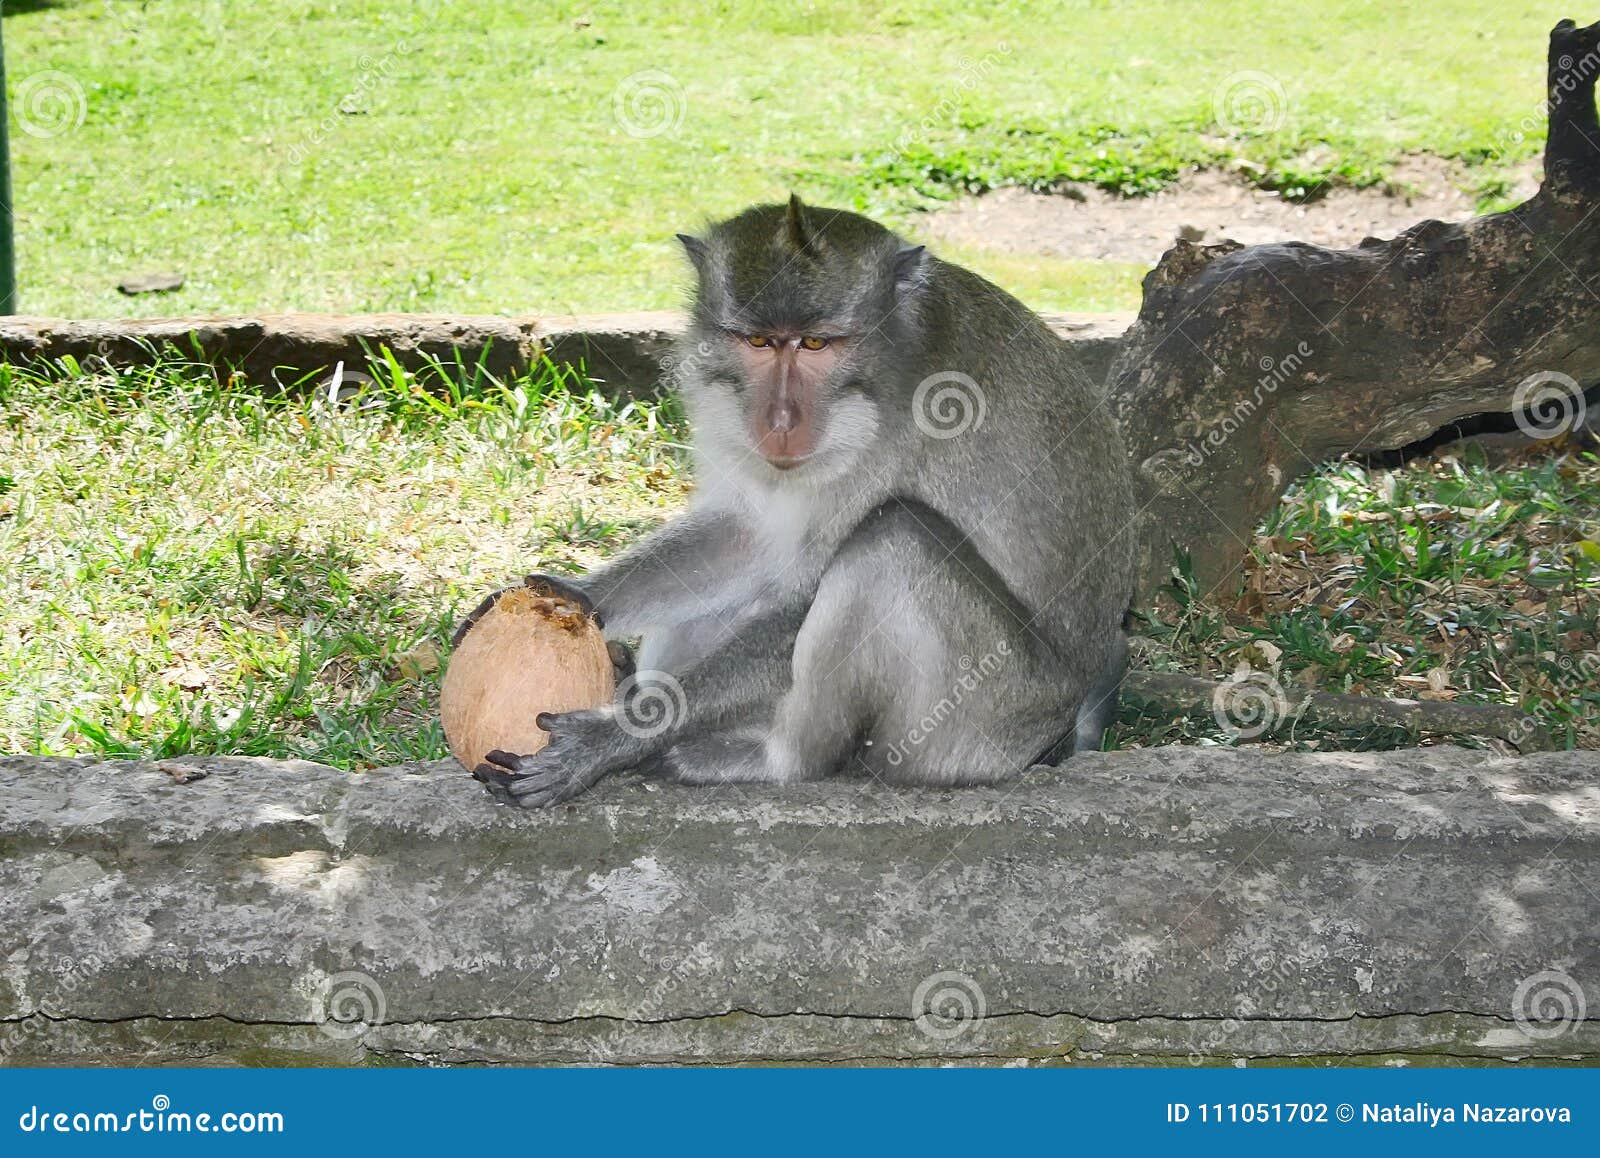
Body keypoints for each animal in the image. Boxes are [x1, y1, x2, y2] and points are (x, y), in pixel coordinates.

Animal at [462, 194, 1136, 808]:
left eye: (815, 344)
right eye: (760, 341)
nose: (780, 420)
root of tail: (1064, 729)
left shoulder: (908, 432)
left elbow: (805, 595)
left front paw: (610, 738)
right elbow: (747, 535)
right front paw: (571, 595)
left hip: (982, 725)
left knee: (892, 542)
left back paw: (777, 761)